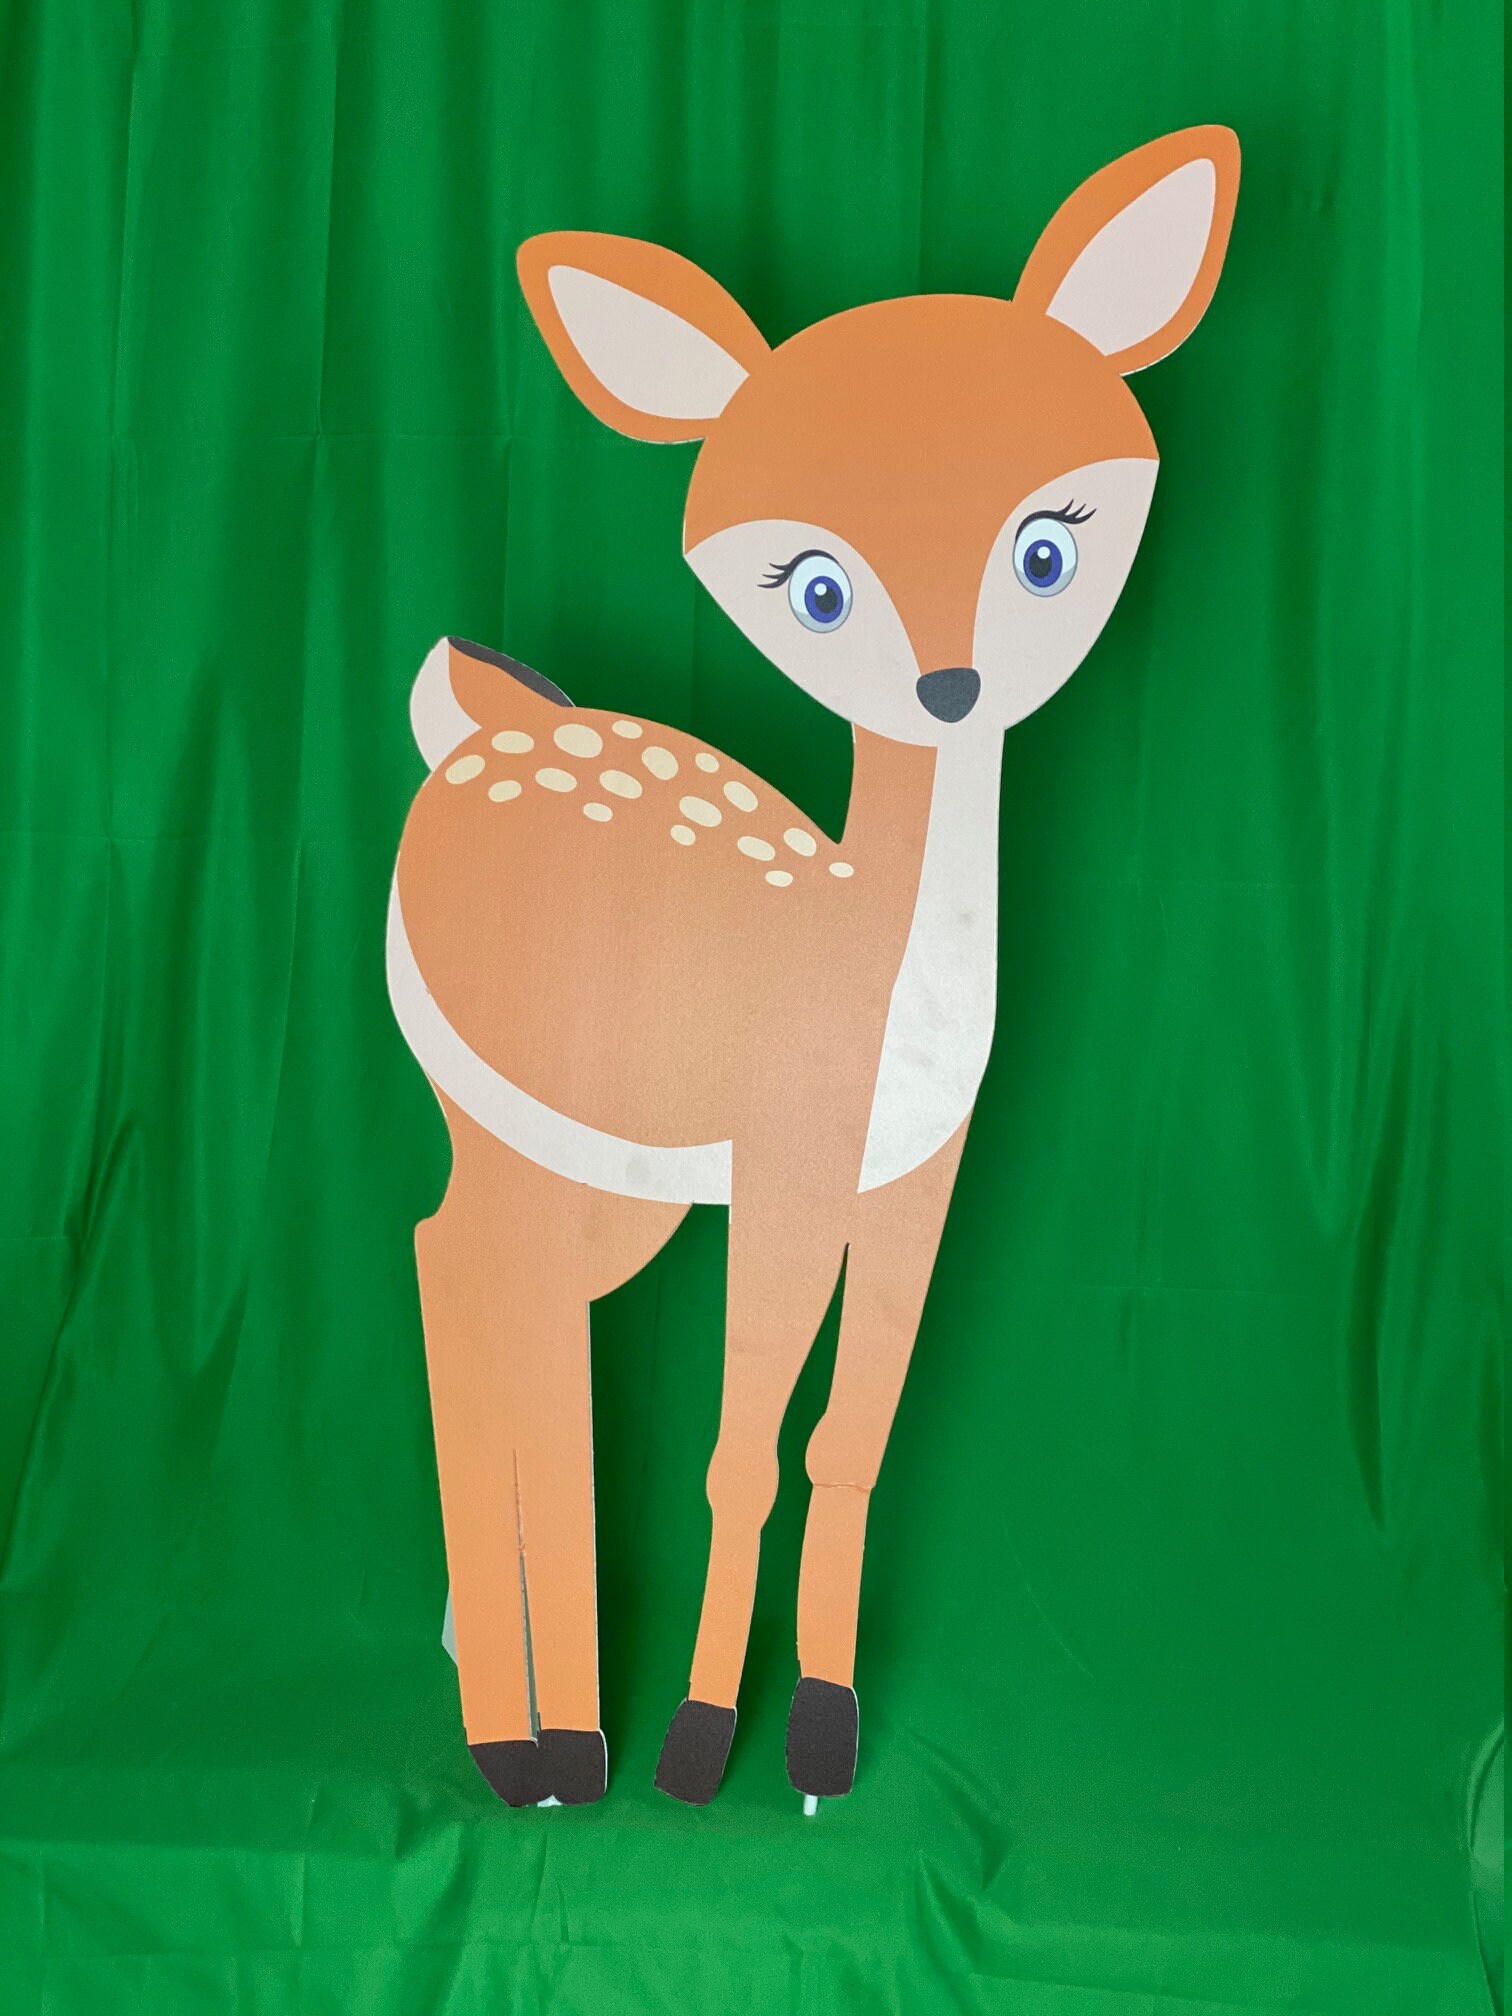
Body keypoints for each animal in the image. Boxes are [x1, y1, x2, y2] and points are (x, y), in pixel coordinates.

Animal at [387, 127, 1240, 1810]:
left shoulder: (920, 1174)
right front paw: (697, 1743)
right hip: (514, 1118)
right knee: (466, 1282)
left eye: (1050, 548)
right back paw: (534, 1745)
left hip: (598, 1178)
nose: (952, 687)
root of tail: (465, 724)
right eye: (816, 587)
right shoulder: (787, 1161)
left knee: (498, 1293)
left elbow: (850, 1441)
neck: (865, 964)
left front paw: (825, 1727)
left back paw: (532, 1714)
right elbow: (740, 1451)